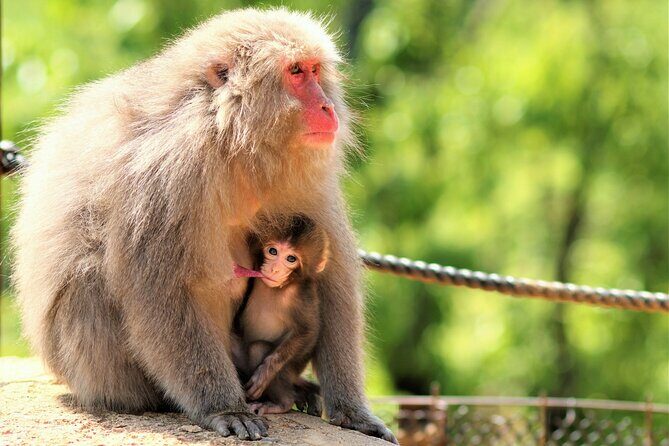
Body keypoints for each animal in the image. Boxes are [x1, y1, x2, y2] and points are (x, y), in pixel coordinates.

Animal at [231, 214, 327, 417]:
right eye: (272, 251)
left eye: (291, 258)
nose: (274, 269)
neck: (281, 287)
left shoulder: (303, 295)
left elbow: (308, 331)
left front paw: (266, 371)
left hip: (288, 372)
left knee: (258, 348)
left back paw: (282, 403)